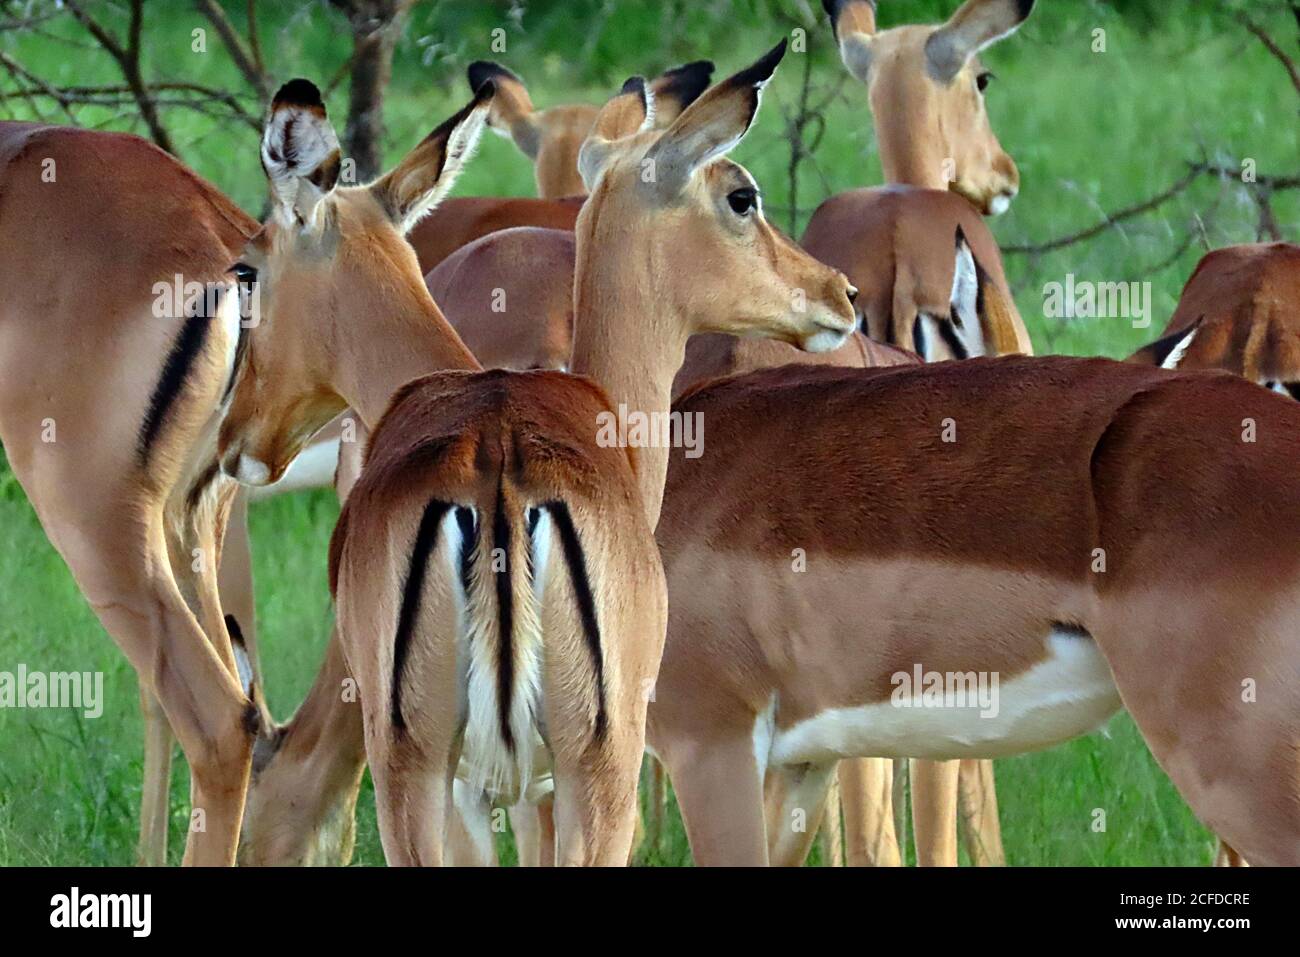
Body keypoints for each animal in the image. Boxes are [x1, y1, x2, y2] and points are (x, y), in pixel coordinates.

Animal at [217, 45, 859, 864]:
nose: (838, 293)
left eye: (248, 269)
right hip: (575, 773)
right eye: (741, 196)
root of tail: (495, 477)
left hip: (434, 770)